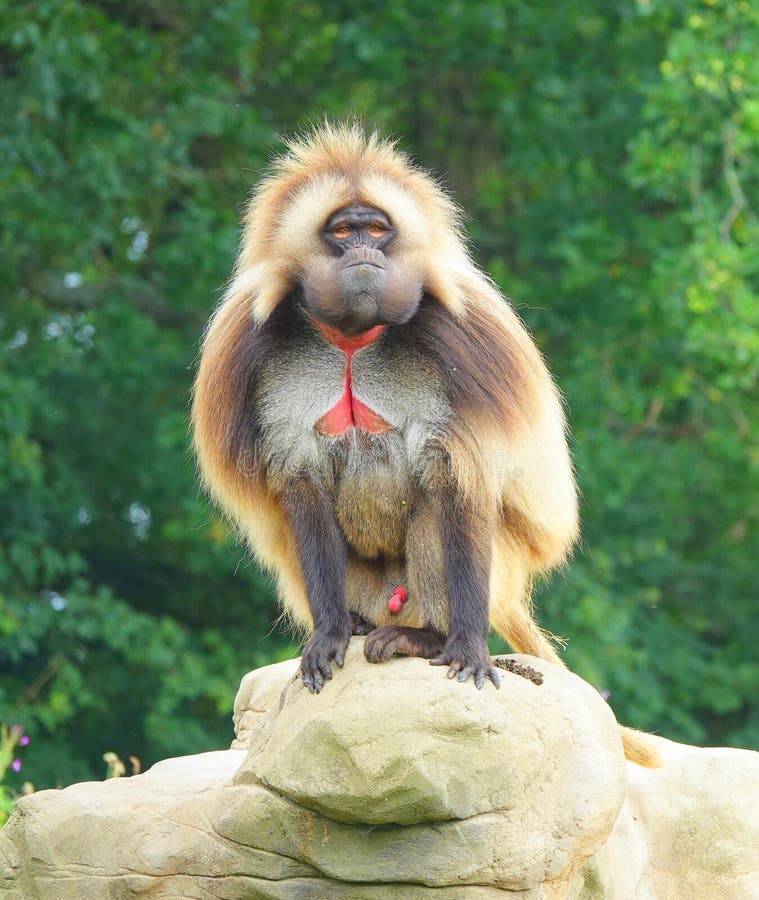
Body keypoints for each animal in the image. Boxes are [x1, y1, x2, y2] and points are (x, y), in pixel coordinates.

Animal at [192, 122, 659, 767]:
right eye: (342, 232)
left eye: (376, 229)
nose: (365, 255)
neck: (352, 339)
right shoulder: (262, 366)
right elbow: (302, 486)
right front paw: (329, 635)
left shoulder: (461, 344)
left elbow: (459, 478)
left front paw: (467, 648)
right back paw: (358, 627)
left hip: (487, 570)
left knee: (440, 514)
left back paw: (427, 637)